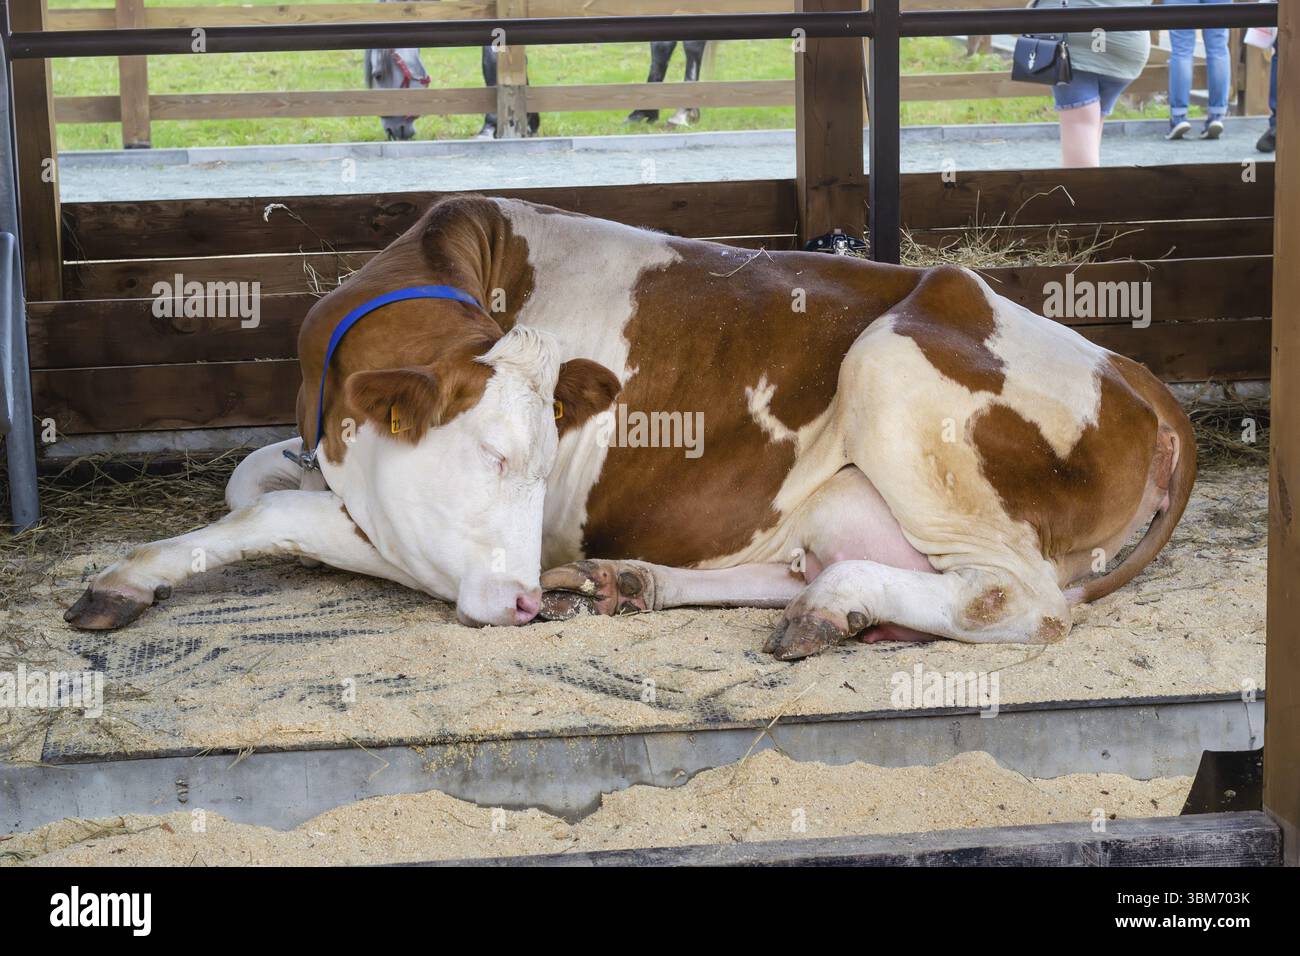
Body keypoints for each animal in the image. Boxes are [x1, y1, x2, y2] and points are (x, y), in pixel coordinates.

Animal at [64, 195, 1195, 661]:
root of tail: (1137, 371)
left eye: (531, 464)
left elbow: (266, 516)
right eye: (493, 453)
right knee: (825, 561)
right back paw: (644, 584)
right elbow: (250, 478)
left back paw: (832, 608)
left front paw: (126, 577)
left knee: (1016, 597)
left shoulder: (447, 543)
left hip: (892, 366)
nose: (526, 598)